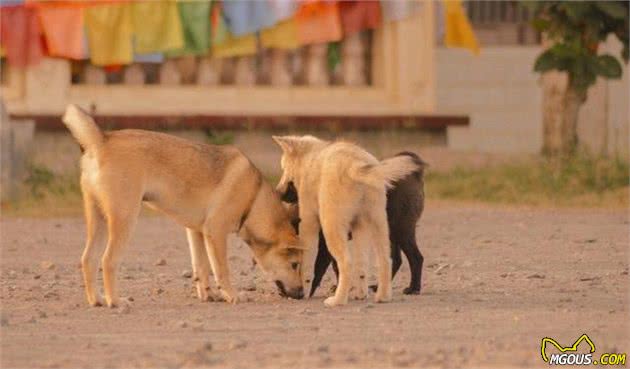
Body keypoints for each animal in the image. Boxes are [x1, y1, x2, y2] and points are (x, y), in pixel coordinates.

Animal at [62, 104, 306, 308]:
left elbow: (202, 268)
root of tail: (102, 139)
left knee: (88, 259)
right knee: (108, 260)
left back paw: (97, 300)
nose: (302, 294)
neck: (253, 198)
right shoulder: (216, 233)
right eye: (295, 264)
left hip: (98, 219)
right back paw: (114, 301)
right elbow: (221, 270)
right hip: (124, 219)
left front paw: (209, 295)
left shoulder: (197, 233)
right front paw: (232, 295)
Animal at [274, 134, 422, 304]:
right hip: (379, 224)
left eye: (283, 167)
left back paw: (338, 300)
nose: (277, 193)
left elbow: (307, 264)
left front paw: (303, 289)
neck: (311, 159)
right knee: (385, 261)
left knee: (346, 263)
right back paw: (379, 296)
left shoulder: (309, 224)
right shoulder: (359, 227)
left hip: (334, 226)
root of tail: (355, 166)